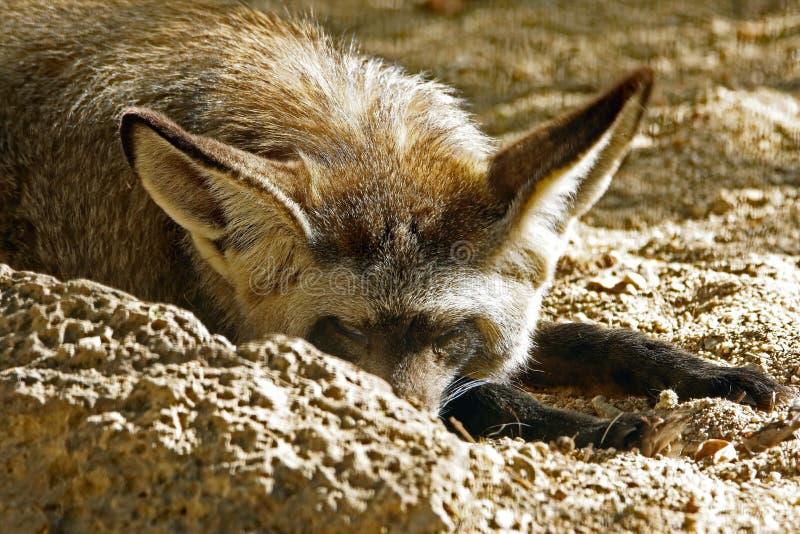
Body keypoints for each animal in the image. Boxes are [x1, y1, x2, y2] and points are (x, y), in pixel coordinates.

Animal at [0, 0, 789, 451]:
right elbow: (489, 396)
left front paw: (716, 375)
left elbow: (594, 337)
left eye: (452, 331)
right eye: (342, 331)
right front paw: (602, 427)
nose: (400, 424)